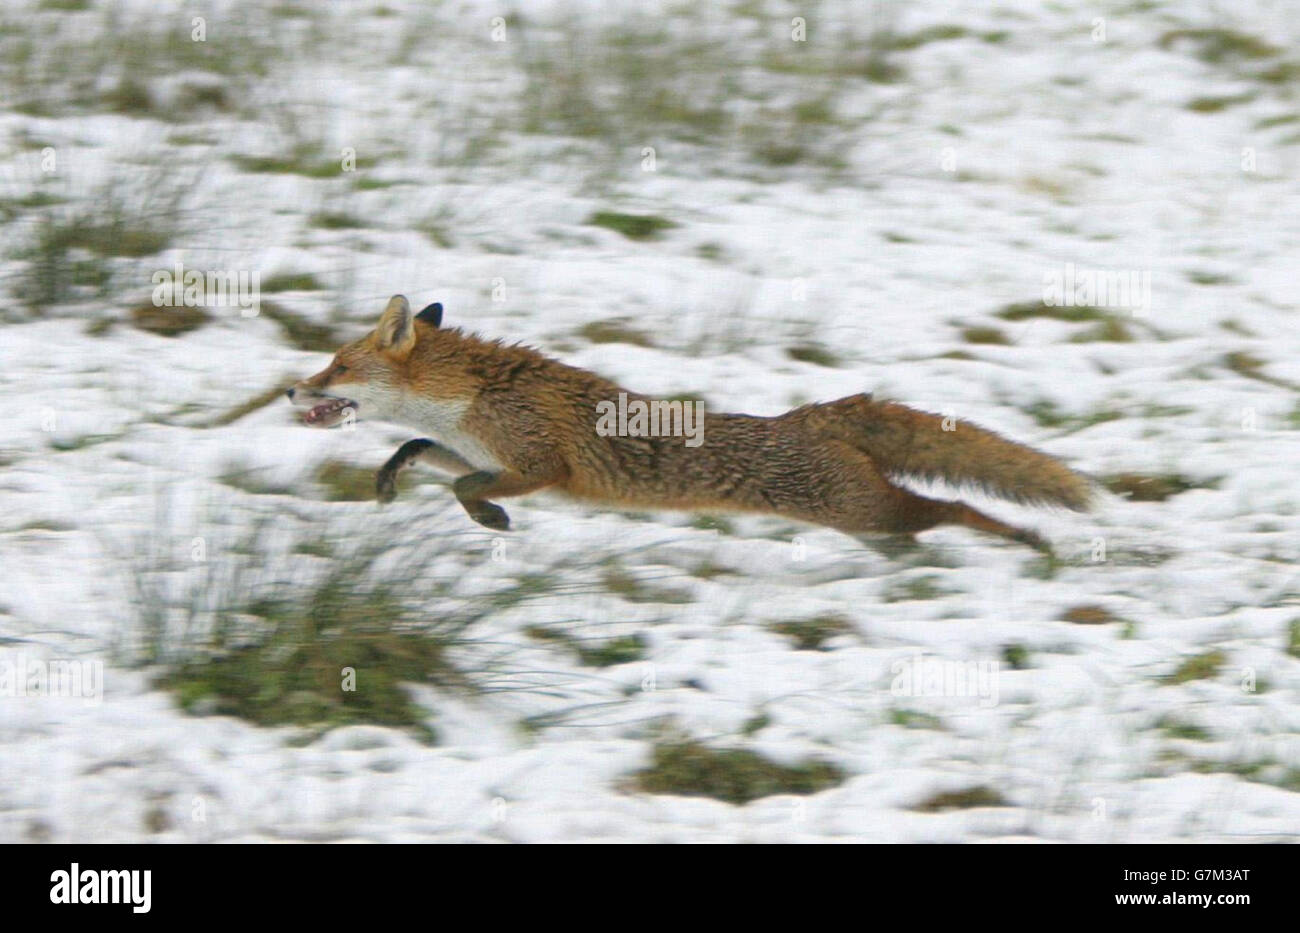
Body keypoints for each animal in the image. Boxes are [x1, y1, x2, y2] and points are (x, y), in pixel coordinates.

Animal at [287, 295, 1092, 550]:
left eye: (337, 365)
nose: (293, 389)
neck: (474, 398)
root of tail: (811, 416)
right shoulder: (485, 454)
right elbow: (419, 446)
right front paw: (389, 479)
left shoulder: (545, 467)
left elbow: (463, 487)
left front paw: (490, 521)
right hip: (866, 518)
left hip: (865, 511)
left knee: (952, 507)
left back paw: (1026, 540)